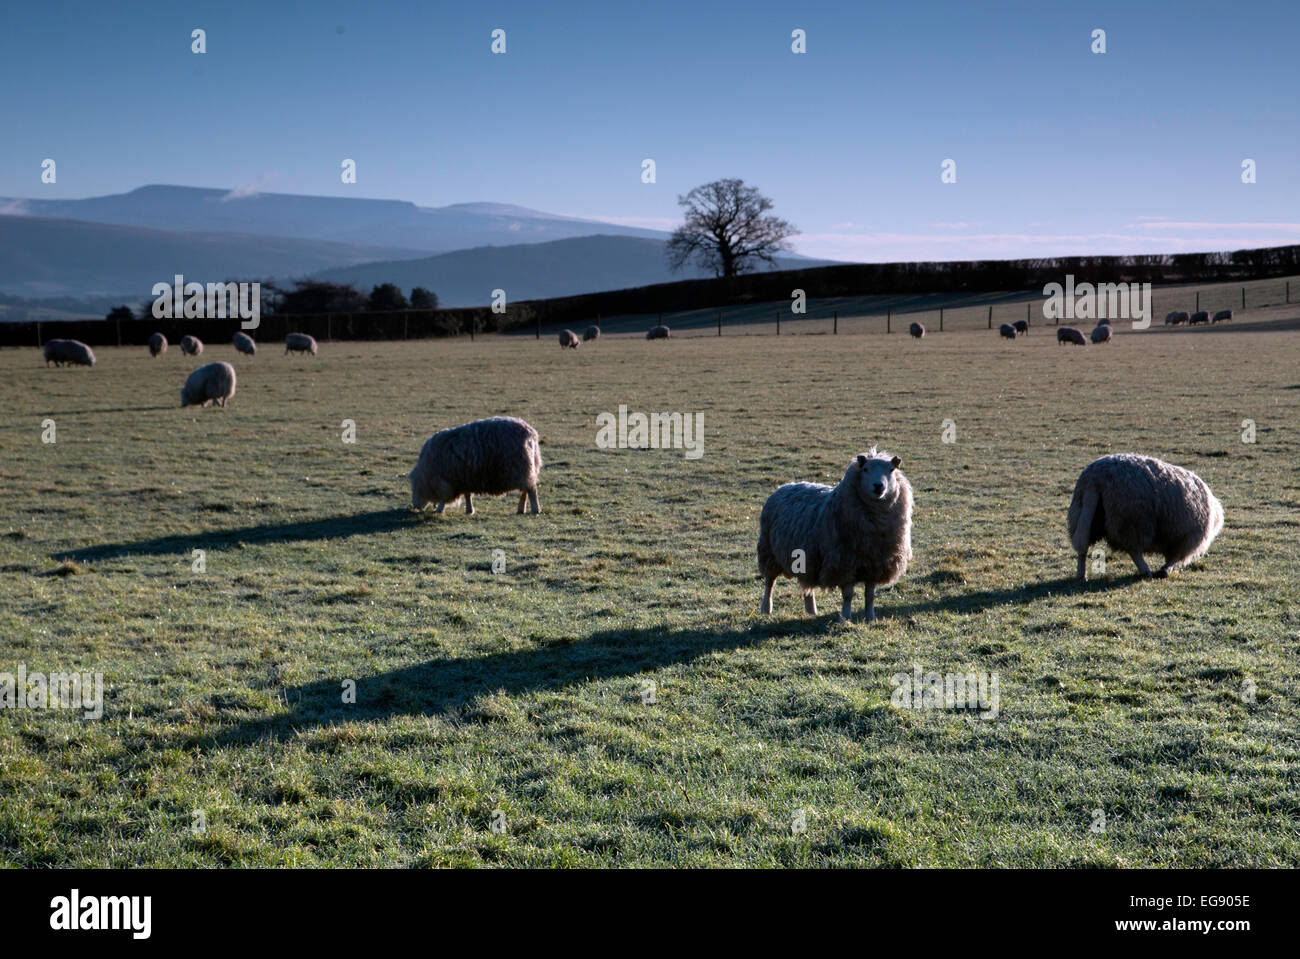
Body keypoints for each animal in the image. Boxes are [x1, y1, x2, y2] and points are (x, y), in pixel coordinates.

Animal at [409, 416, 543, 516]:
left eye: (414, 487)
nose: (415, 507)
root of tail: (531, 433)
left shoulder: (446, 481)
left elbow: (444, 498)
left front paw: (439, 509)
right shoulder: (464, 479)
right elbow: (467, 495)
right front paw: (469, 510)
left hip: (521, 467)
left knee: (531, 490)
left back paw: (535, 509)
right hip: (528, 468)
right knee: (525, 490)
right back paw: (521, 509)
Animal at [757, 447, 913, 622]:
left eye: (891, 470)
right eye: (865, 469)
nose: (878, 486)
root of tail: (784, 486)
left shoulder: (874, 565)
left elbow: (870, 595)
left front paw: (870, 617)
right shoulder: (844, 563)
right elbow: (848, 595)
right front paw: (846, 618)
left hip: (807, 557)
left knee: (807, 585)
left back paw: (811, 610)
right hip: (768, 550)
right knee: (769, 582)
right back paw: (766, 608)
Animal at [1068, 453, 1223, 580]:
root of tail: (1095, 479)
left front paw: (1165, 569)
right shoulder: (1188, 536)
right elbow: (1176, 556)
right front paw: (1165, 570)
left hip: (1084, 514)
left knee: (1083, 545)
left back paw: (1081, 574)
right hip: (1131, 521)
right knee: (1133, 549)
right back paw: (1145, 571)